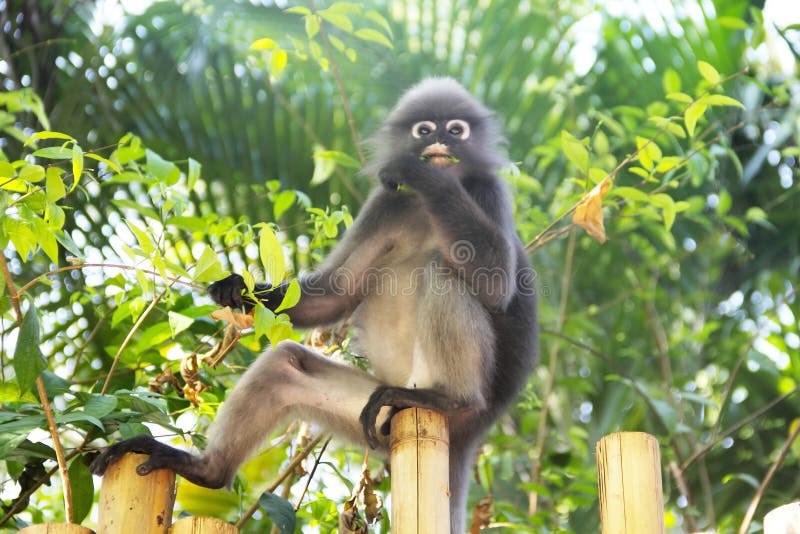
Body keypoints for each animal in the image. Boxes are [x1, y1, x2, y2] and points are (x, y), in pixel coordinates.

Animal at [90, 77, 539, 533]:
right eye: (425, 130)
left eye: (457, 130)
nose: (442, 143)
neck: (424, 207)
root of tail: (471, 430)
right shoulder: (384, 204)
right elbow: (337, 292)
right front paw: (239, 290)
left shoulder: (488, 191)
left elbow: (497, 281)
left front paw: (422, 174)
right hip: (377, 419)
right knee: (283, 365)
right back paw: (204, 470)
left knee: (444, 271)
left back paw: (451, 398)